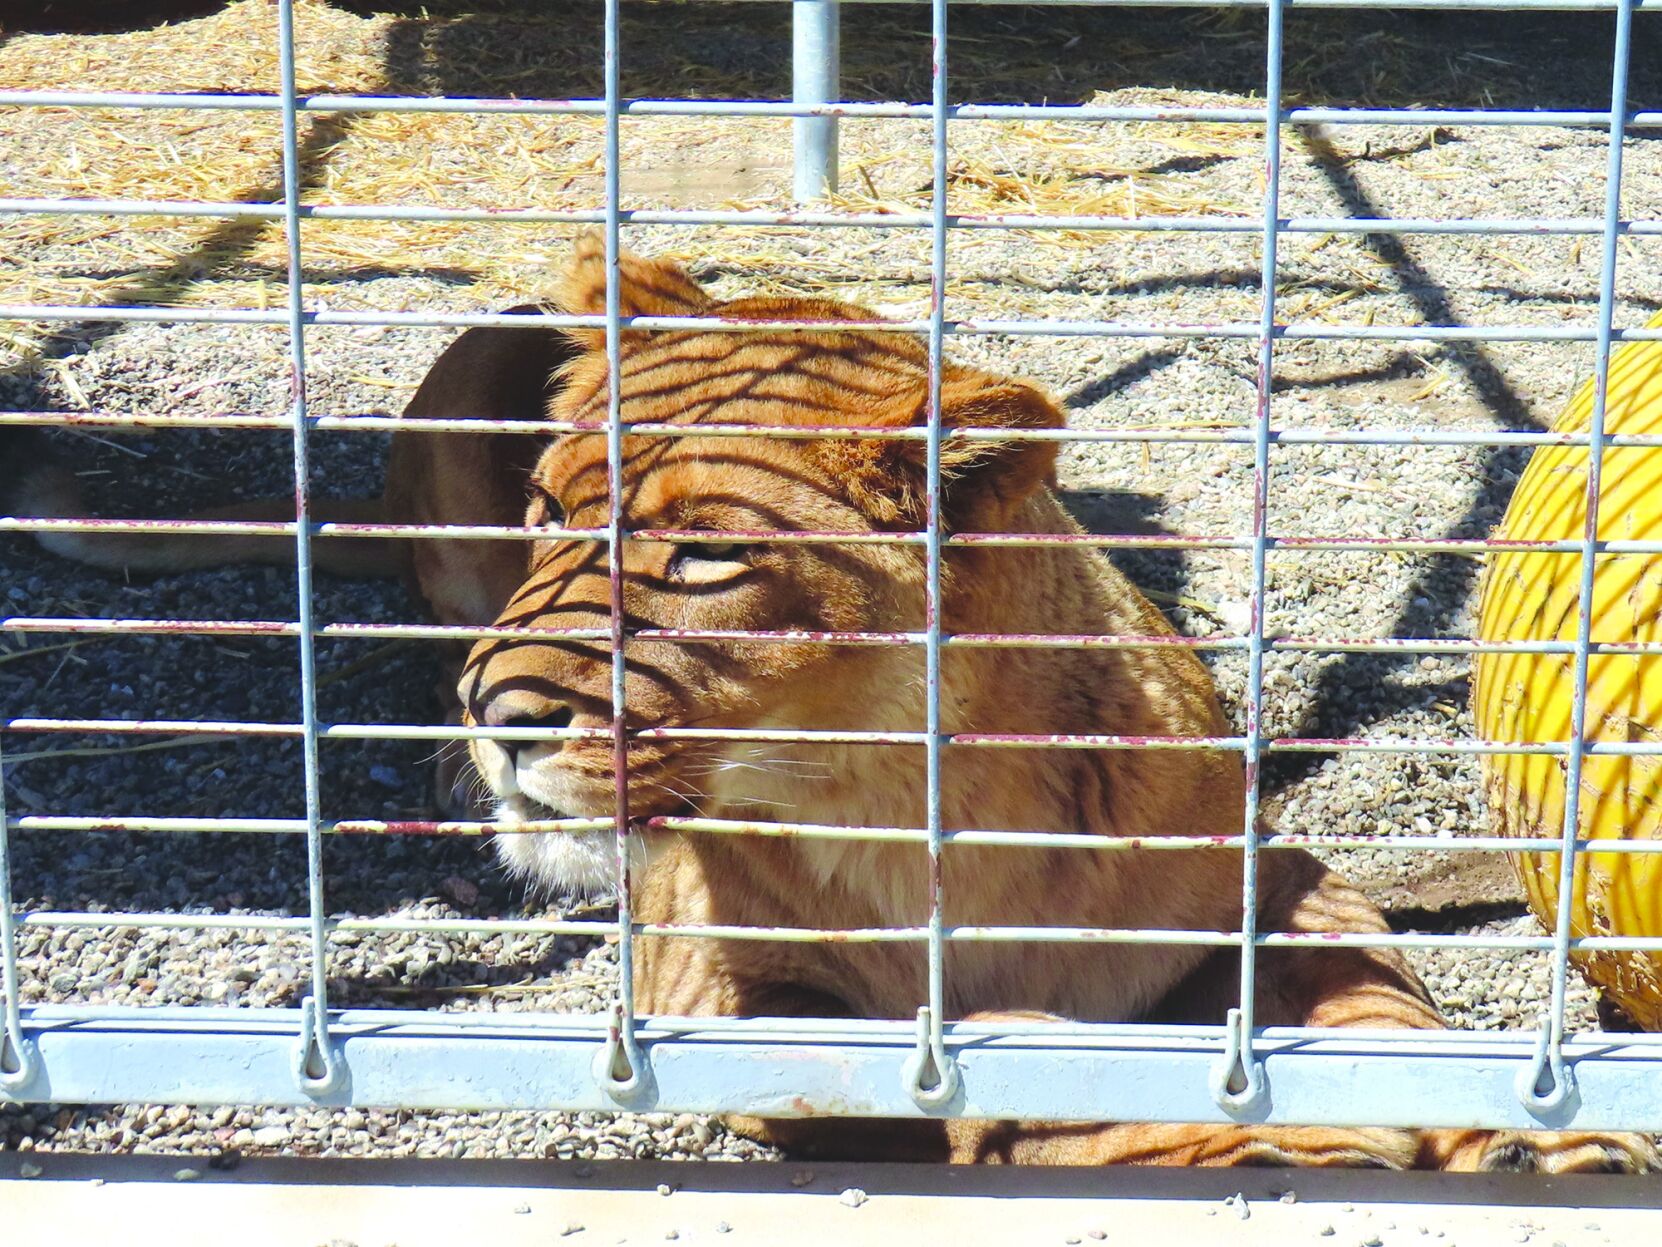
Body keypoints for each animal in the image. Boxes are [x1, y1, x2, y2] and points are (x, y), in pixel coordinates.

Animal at [13, 233, 1657, 1171]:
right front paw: (1280, 1141)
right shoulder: (721, 1004)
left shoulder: (1286, 874)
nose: (496, 707)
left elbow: (1385, 1004)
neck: (925, 803)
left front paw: (1522, 1142)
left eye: (704, 556)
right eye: (554, 512)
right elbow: (999, 1073)